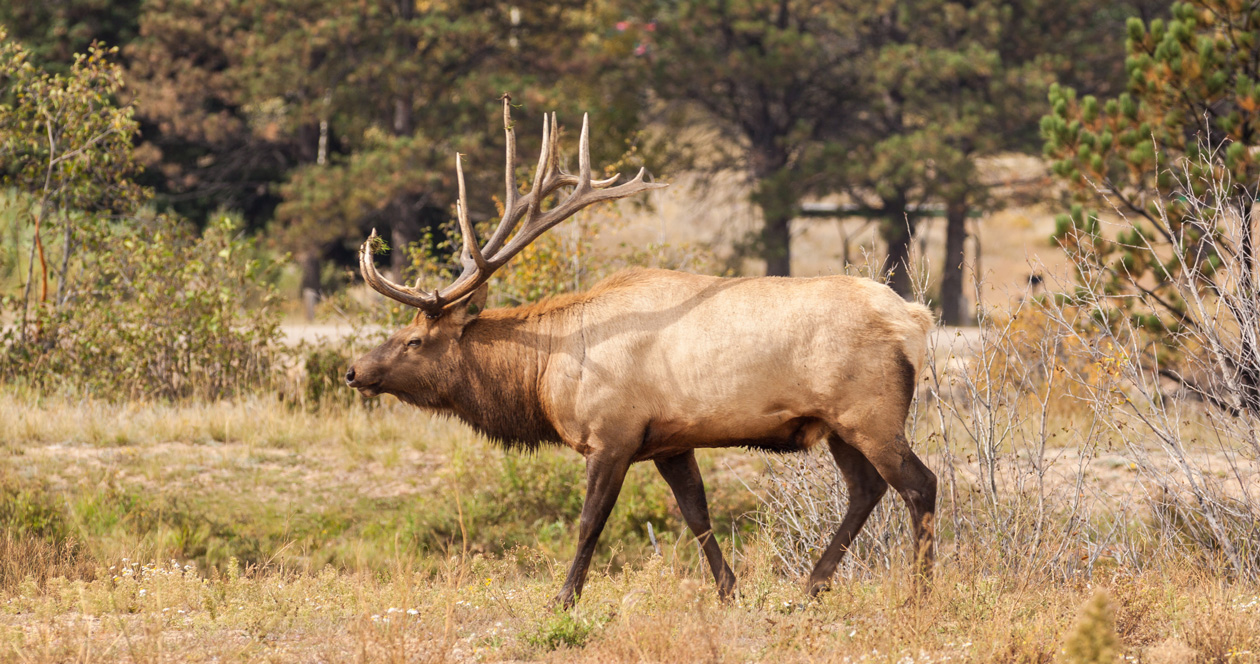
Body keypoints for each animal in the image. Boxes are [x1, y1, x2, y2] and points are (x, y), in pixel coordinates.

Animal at [345, 97, 937, 608]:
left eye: (415, 340)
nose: (353, 370)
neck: (545, 374)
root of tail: (916, 320)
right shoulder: (670, 442)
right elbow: (697, 515)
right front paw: (729, 591)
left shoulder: (612, 434)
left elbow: (590, 522)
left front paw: (564, 598)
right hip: (838, 424)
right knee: (866, 489)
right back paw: (813, 584)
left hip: (870, 411)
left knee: (919, 485)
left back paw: (918, 593)